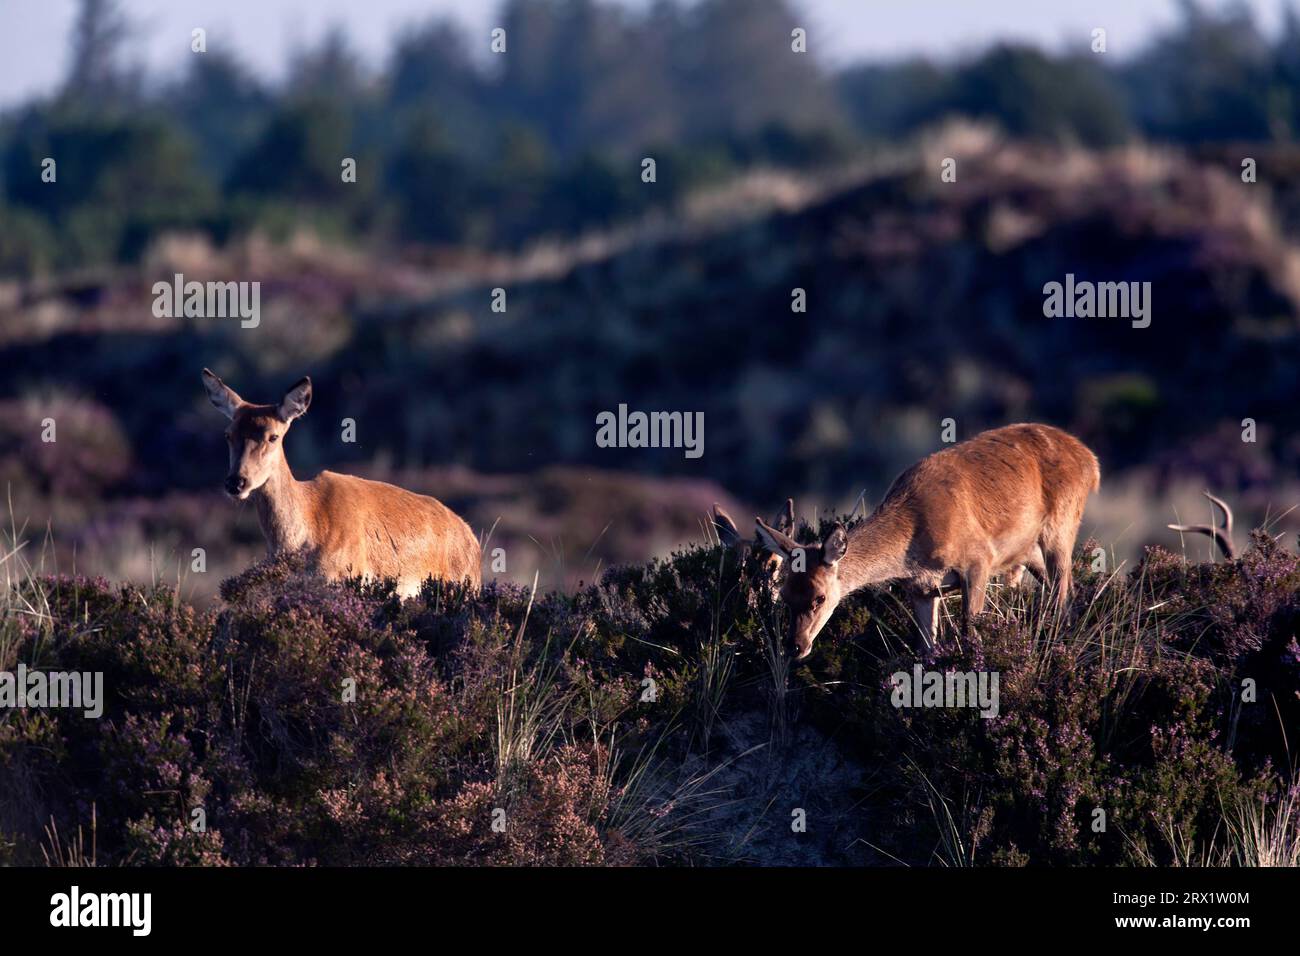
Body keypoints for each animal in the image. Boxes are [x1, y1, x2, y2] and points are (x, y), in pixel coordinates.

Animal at [753, 423, 1100, 659]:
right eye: (784, 595)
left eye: (820, 597)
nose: (794, 646)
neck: (911, 549)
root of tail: (1090, 460)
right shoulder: (920, 588)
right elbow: (926, 649)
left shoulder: (978, 558)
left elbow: (969, 633)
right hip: (1026, 549)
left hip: (1063, 524)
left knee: (1064, 596)